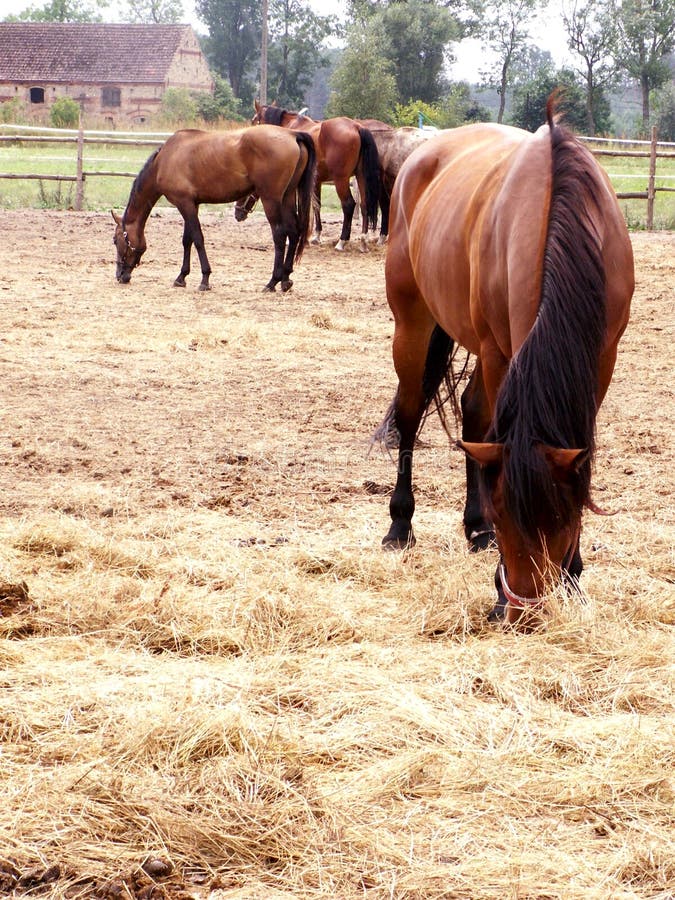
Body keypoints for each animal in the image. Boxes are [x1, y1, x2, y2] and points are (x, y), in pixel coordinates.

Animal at [112, 124, 316, 293]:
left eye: (115, 240)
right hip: (287, 197)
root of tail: (292, 134)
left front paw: (205, 279)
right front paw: (181, 277)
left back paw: (272, 281)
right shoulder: (191, 204)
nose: (120, 276)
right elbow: (187, 240)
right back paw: (286, 279)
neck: (166, 159)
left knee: (280, 236)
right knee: (293, 232)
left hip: (271, 200)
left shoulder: (184, 204)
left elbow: (198, 239)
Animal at [251, 101, 380, 251]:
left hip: (341, 179)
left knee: (348, 205)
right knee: (365, 205)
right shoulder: (316, 181)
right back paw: (363, 241)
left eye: (254, 121)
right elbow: (316, 205)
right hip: (361, 176)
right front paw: (316, 236)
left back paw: (342, 241)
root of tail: (356, 127)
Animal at [375, 98, 634, 628]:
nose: (520, 611)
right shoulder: (499, 352)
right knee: (411, 415)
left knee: (473, 414)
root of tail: (420, 153)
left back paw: (474, 531)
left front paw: (573, 575)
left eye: (562, 521)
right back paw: (400, 525)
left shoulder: (602, 357)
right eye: (504, 511)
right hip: (413, 323)